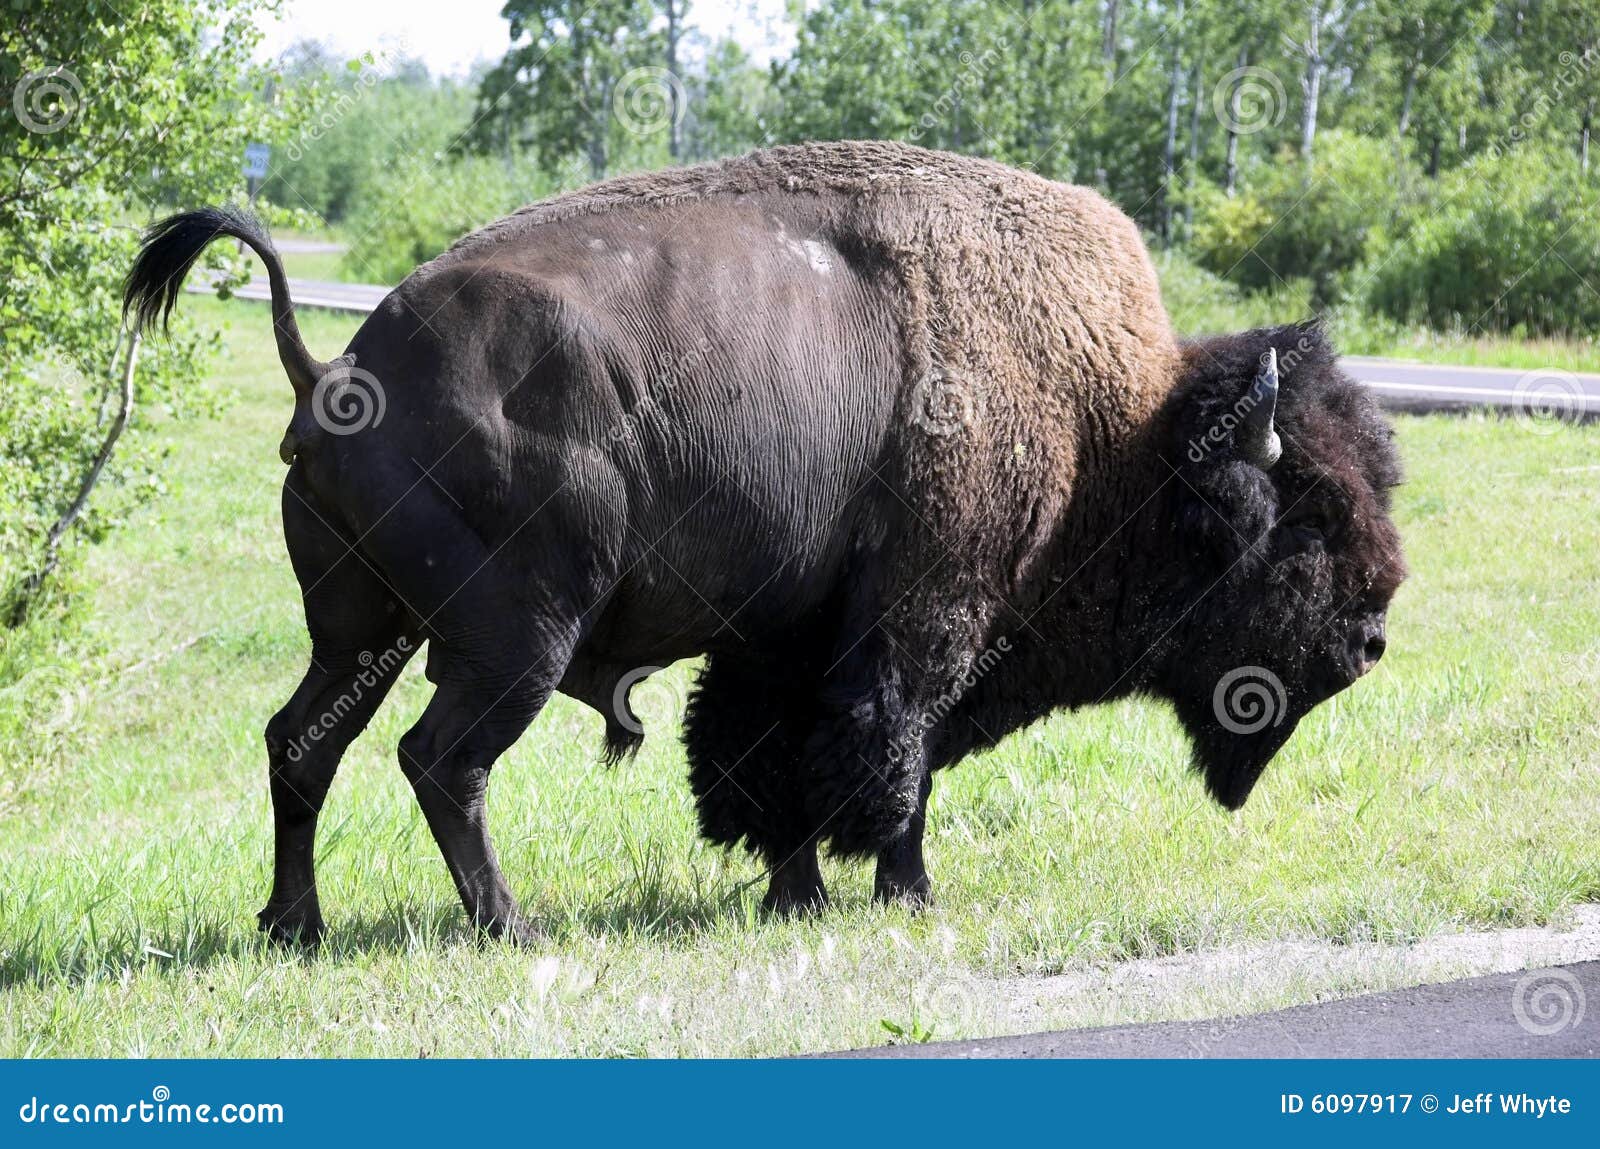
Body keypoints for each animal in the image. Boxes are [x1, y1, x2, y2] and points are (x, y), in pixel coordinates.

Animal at [124, 140, 1404, 945]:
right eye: (1306, 523)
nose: (1373, 634)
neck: (1110, 421)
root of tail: (335, 369)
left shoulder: (786, 639)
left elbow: (769, 762)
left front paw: (794, 896)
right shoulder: (923, 623)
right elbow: (894, 760)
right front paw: (906, 894)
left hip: (359, 633)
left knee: (304, 743)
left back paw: (295, 925)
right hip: (511, 641)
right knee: (441, 761)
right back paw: (506, 926)